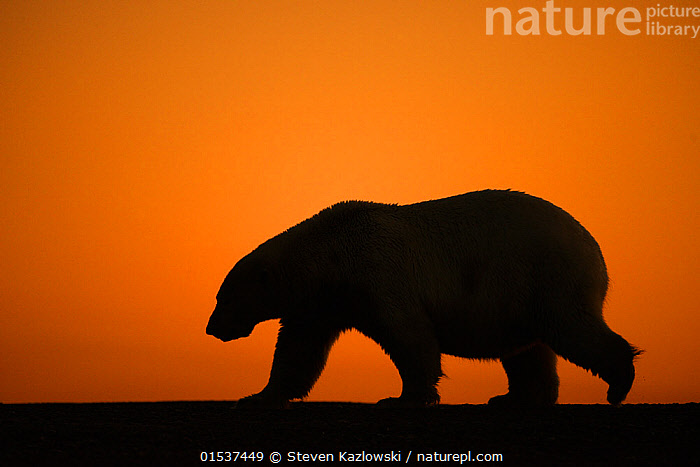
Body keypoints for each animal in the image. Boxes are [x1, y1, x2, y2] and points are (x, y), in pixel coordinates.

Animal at [206, 190, 641, 408]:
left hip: (545, 276)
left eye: (223, 299)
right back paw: (513, 399)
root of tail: (592, 244)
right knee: (528, 351)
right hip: (518, 301)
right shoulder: (321, 304)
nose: (211, 329)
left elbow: (410, 336)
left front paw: (403, 399)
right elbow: (298, 350)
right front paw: (257, 396)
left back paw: (618, 384)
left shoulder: (379, 276)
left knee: (572, 329)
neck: (332, 258)